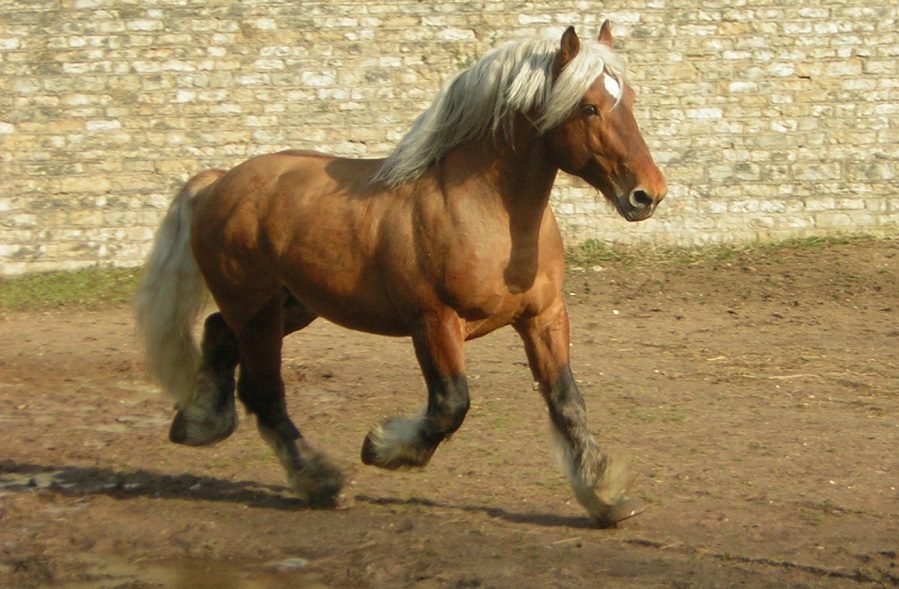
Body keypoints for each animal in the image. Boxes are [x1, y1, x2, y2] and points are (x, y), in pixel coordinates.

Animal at [135, 22, 666, 527]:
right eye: (589, 108)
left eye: (630, 100)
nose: (648, 194)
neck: (487, 213)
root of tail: (217, 183)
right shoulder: (433, 321)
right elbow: (451, 404)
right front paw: (382, 447)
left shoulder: (543, 316)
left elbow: (567, 402)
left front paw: (606, 498)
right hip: (259, 311)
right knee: (264, 392)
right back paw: (318, 479)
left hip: (290, 306)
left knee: (217, 332)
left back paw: (199, 422)